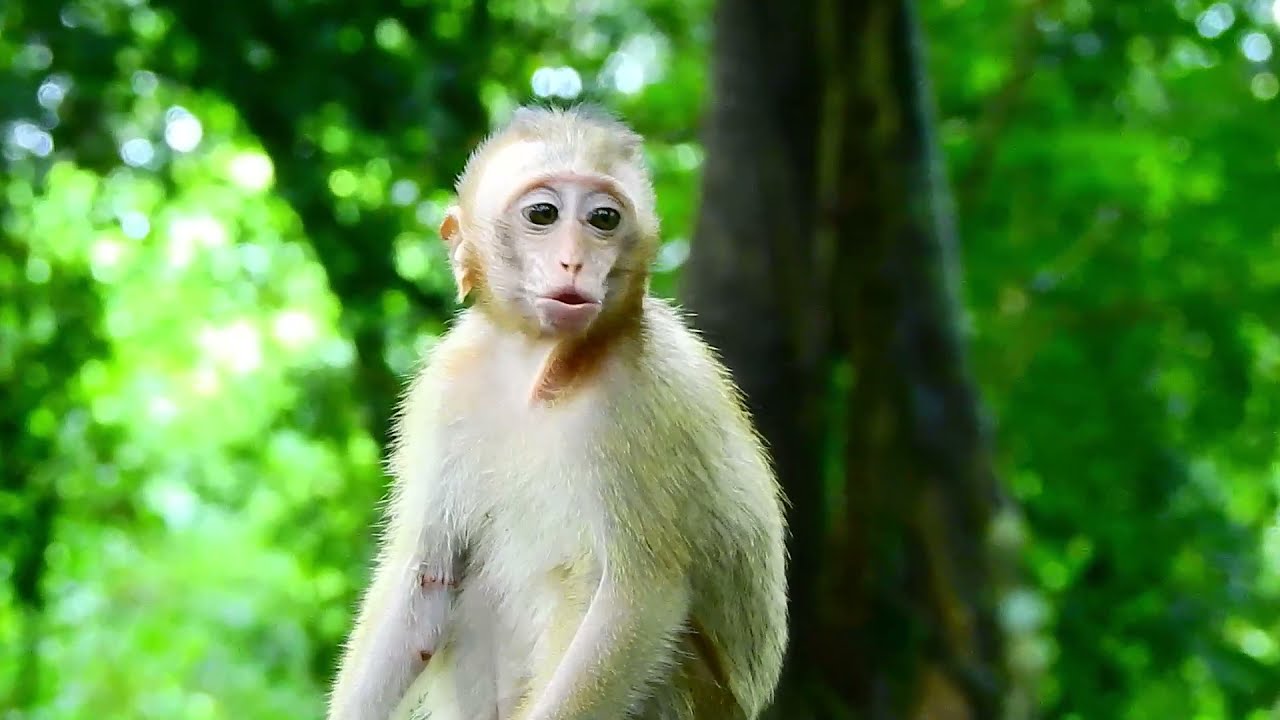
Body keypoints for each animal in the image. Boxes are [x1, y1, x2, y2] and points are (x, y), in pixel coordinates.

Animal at [326, 105, 788, 720]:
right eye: (543, 214)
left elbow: (640, 597)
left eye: (603, 219)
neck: (537, 370)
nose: (574, 259)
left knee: (582, 576)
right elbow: (426, 577)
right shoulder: (444, 388)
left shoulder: (643, 401)